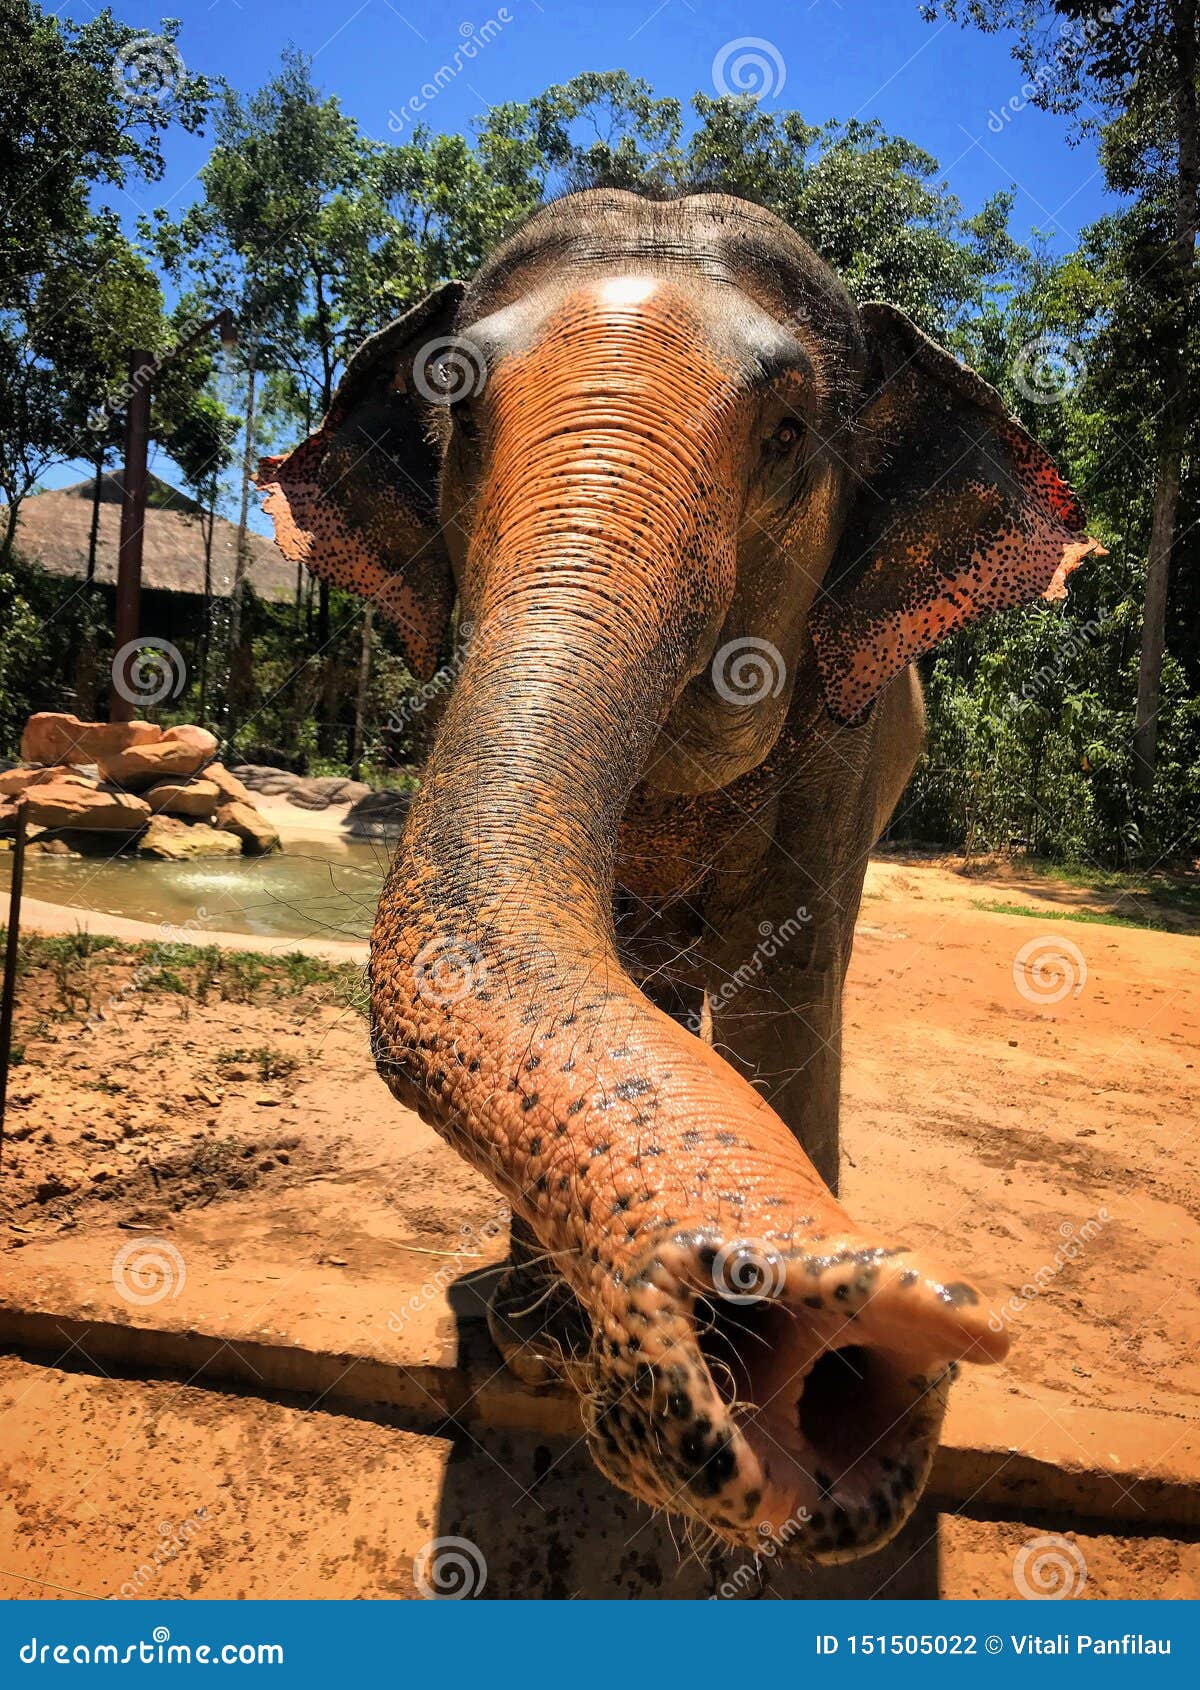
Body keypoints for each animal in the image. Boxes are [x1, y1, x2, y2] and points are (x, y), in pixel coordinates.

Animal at [258, 189, 1098, 1565]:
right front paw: (544, 1352)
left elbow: (793, 970)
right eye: (458, 414)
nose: (753, 1309)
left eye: (791, 431)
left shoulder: (843, 736)